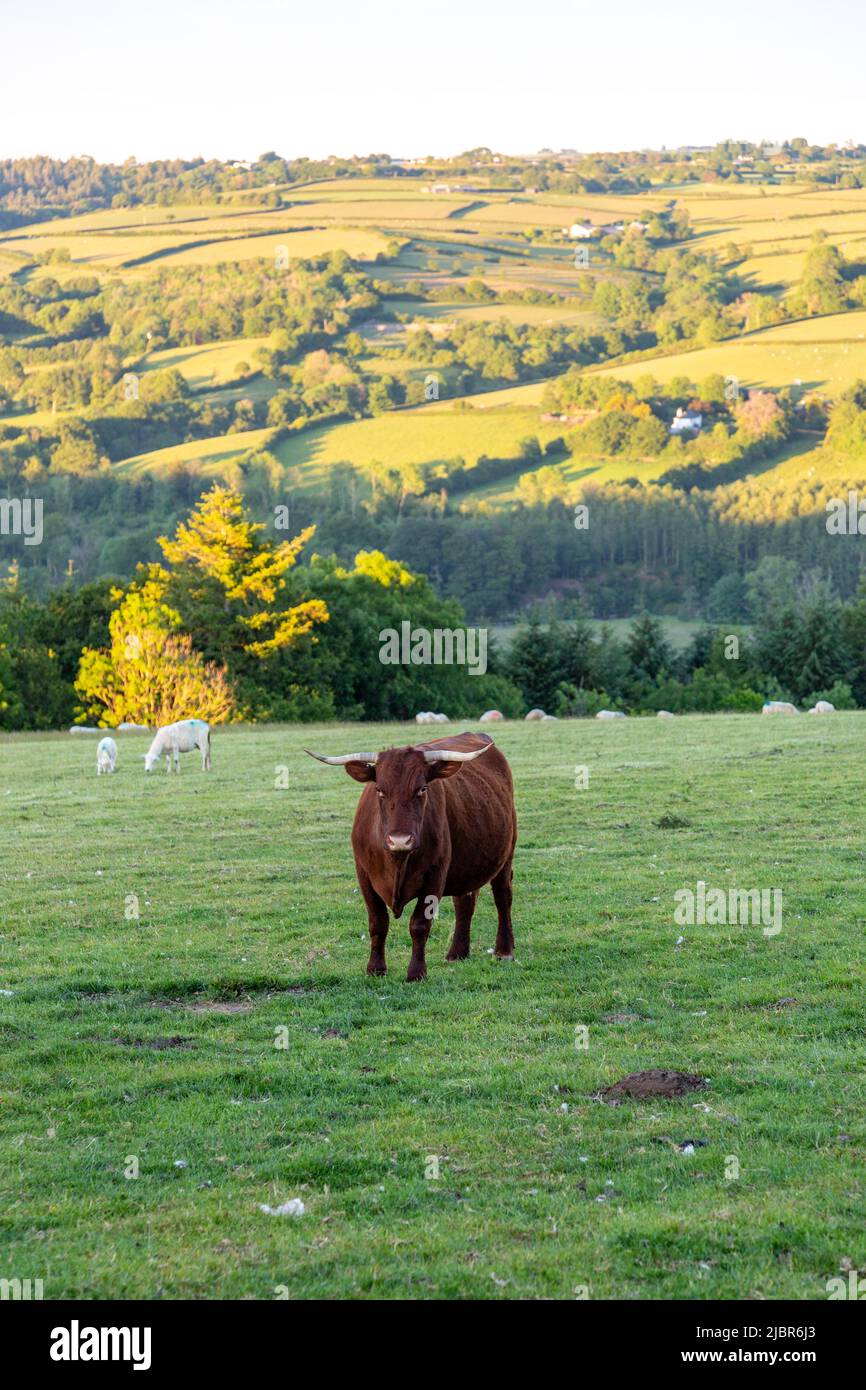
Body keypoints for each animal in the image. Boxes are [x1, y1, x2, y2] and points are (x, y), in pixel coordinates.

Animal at [305, 731, 517, 982]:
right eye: (379, 789)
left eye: (422, 789)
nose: (399, 840)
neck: (397, 863)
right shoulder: (364, 875)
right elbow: (378, 922)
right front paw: (375, 968)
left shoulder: (435, 875)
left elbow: (419, 925)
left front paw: (416, 972)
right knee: (464, 901)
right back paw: (457, 953)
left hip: (506, 853)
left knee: (502, 897)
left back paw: (504, 950)